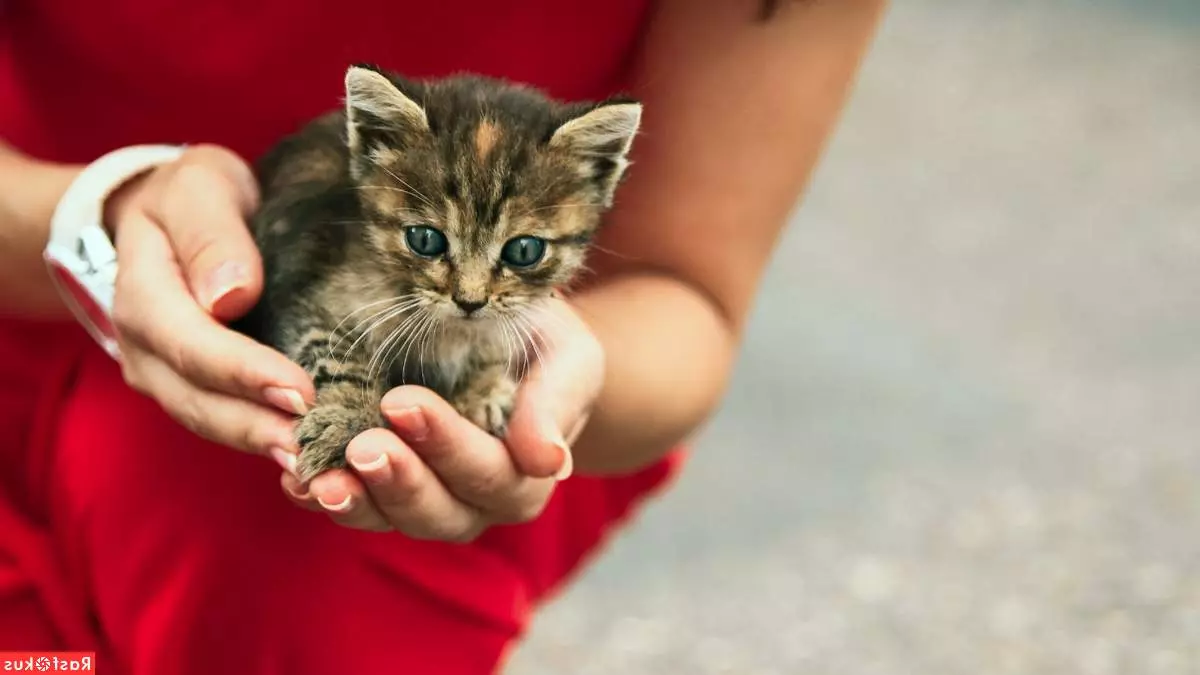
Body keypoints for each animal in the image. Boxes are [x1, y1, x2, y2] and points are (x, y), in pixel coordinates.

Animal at [237, 65, 643, 480]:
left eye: (524, 251)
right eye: (425, 240)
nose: (470, 301)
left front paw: (483, 387)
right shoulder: (306, 285)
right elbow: (333, 351)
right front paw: (347, 418)